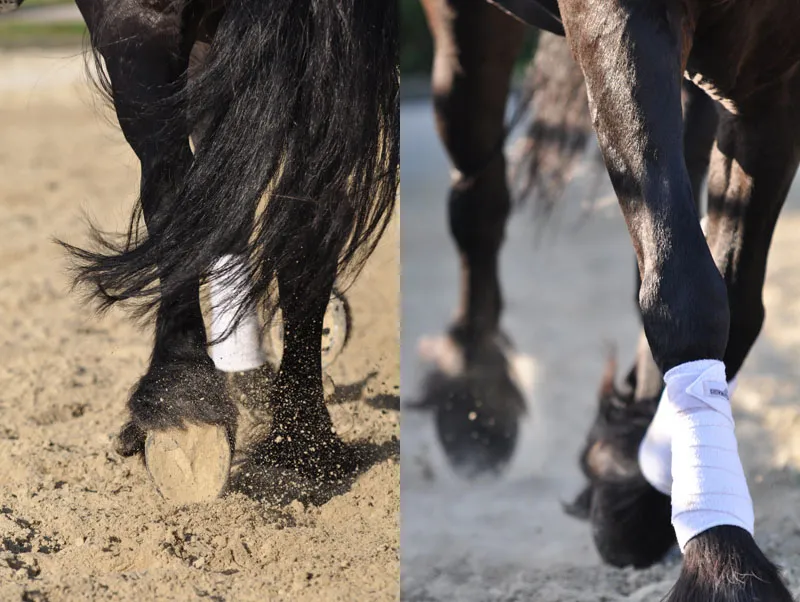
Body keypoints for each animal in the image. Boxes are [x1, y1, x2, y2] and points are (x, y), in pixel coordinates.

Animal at [419, 0, 797, 600]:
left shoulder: (774, 74)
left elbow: (732, 295)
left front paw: (636, 483)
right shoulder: (622, 20)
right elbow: (684, 289)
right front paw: (725, 565)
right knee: (477, 185)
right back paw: (475, 404)